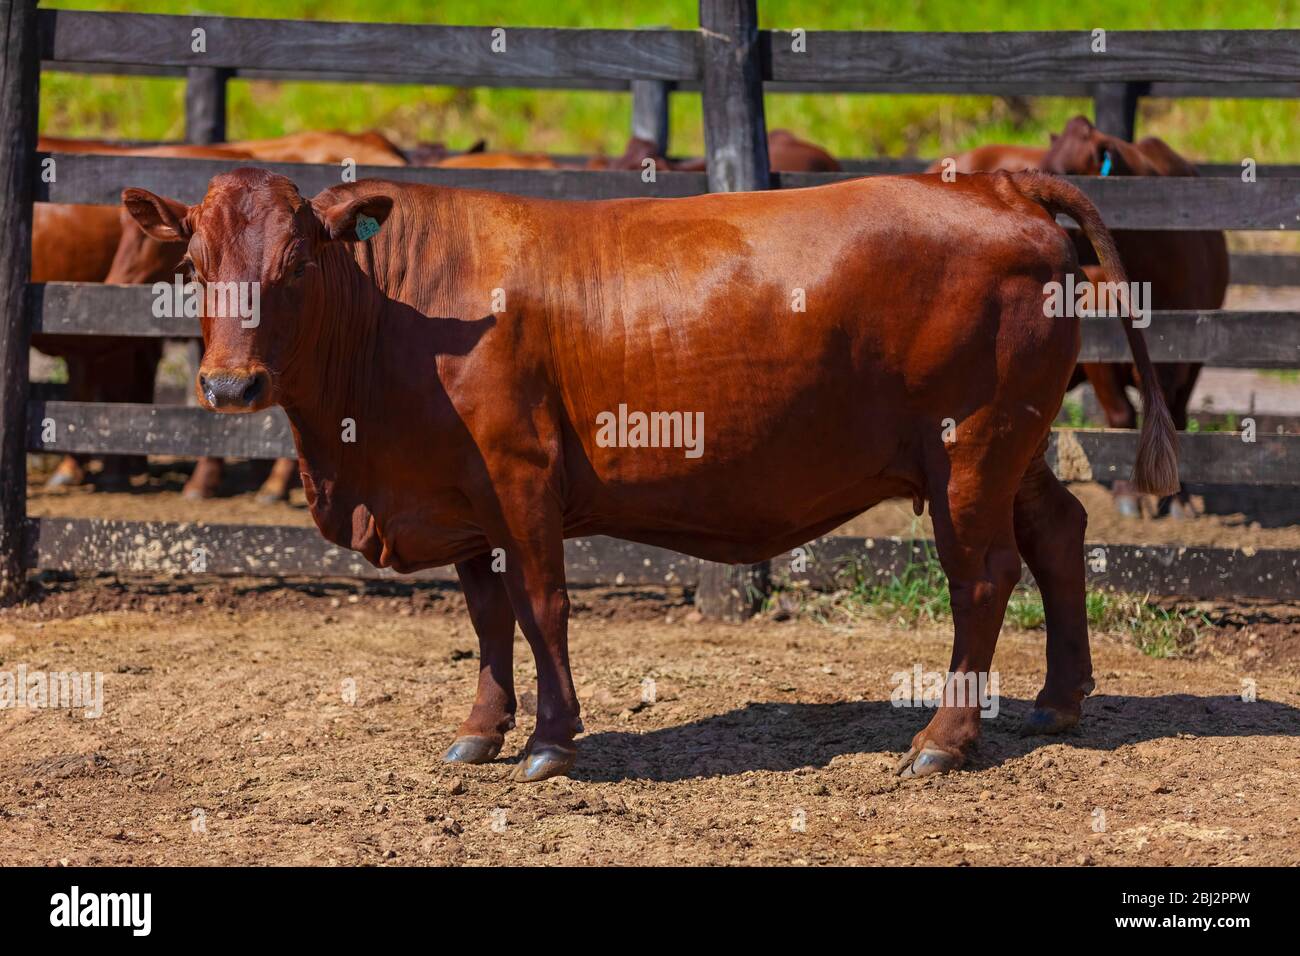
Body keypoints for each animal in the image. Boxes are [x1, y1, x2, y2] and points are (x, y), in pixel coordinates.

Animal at [121, 167, 1177, 783]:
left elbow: (542, 606)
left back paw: (943, 740)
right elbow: (488, 621)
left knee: (985, 576)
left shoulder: (520, 479)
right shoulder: (459, 501)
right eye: (197, 264)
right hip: (1012, 449)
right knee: (1059, 534)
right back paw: (1059, 701)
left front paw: (552, 740)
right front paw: (482, 729)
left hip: (970, 450)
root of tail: (1003, 186)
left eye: (297, 264)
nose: (229, 382)